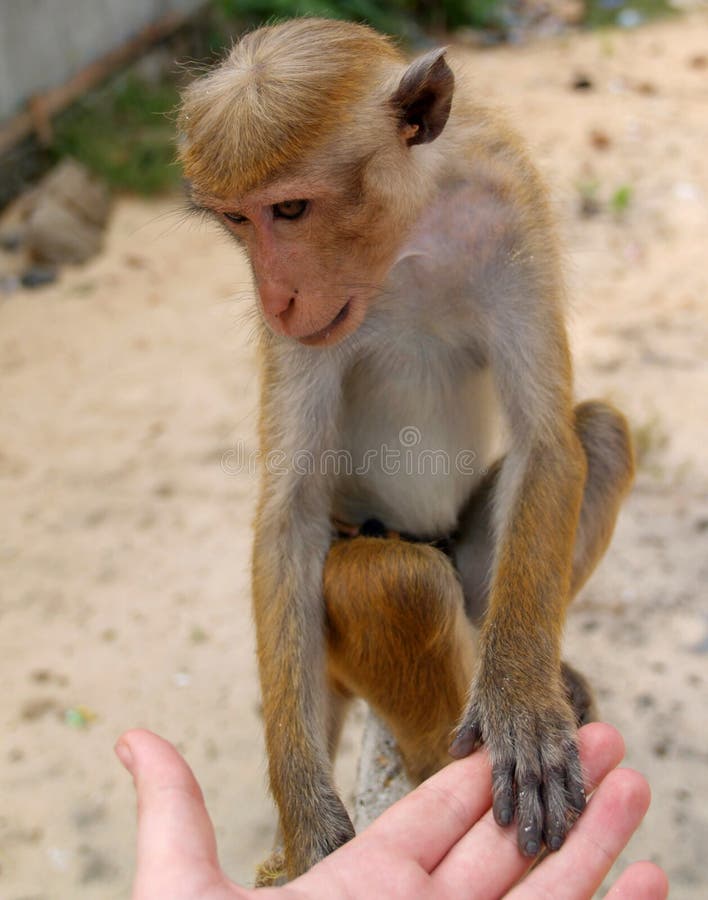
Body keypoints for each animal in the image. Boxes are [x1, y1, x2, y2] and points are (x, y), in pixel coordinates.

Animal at [178, 18, 634, 883]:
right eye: (235, 221)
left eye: (290, 208)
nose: (274, 298)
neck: (405, 242)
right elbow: (291, 511)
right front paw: (308, 823)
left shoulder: (511, 207)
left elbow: (548, 443)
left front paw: (522, 702)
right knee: (392, 579)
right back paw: (433, 769)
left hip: (477, 577)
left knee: (601, 437)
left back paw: (534, 674)